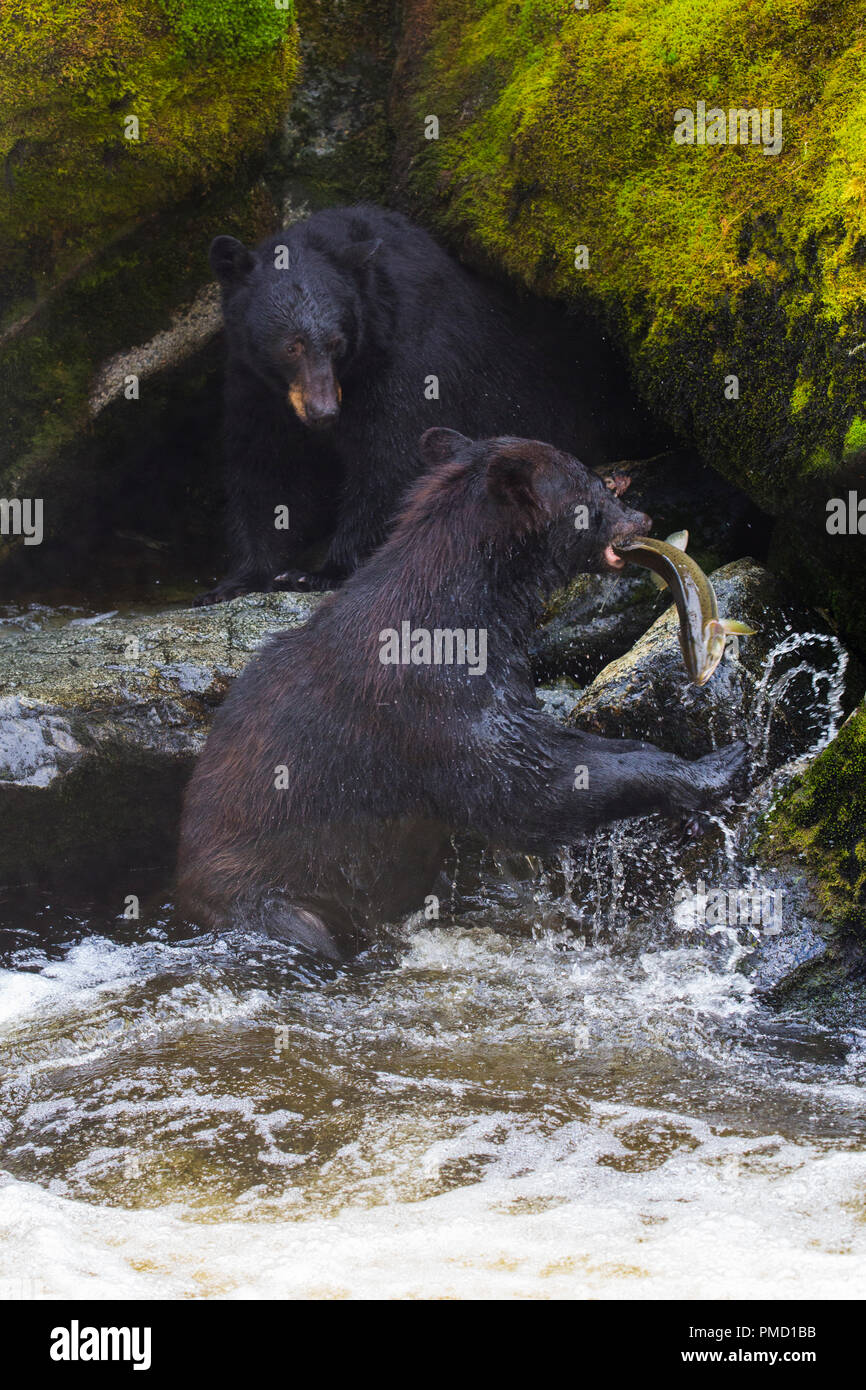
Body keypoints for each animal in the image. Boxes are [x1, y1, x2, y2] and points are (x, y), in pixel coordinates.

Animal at [177, 428, 749, 959]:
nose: (643, 519)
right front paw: (715, 766)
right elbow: (528, 786)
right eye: (595, 487)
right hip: (265, 892)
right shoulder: (430, 703)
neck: (475, 609)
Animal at [195, 203, 636, 605]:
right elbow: (267, 469)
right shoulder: (255, 385)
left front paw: (321, 572)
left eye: (335, 342)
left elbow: (391, 459)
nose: (323, 413)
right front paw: (239, 580)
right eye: (291, 346)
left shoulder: (412, 363)